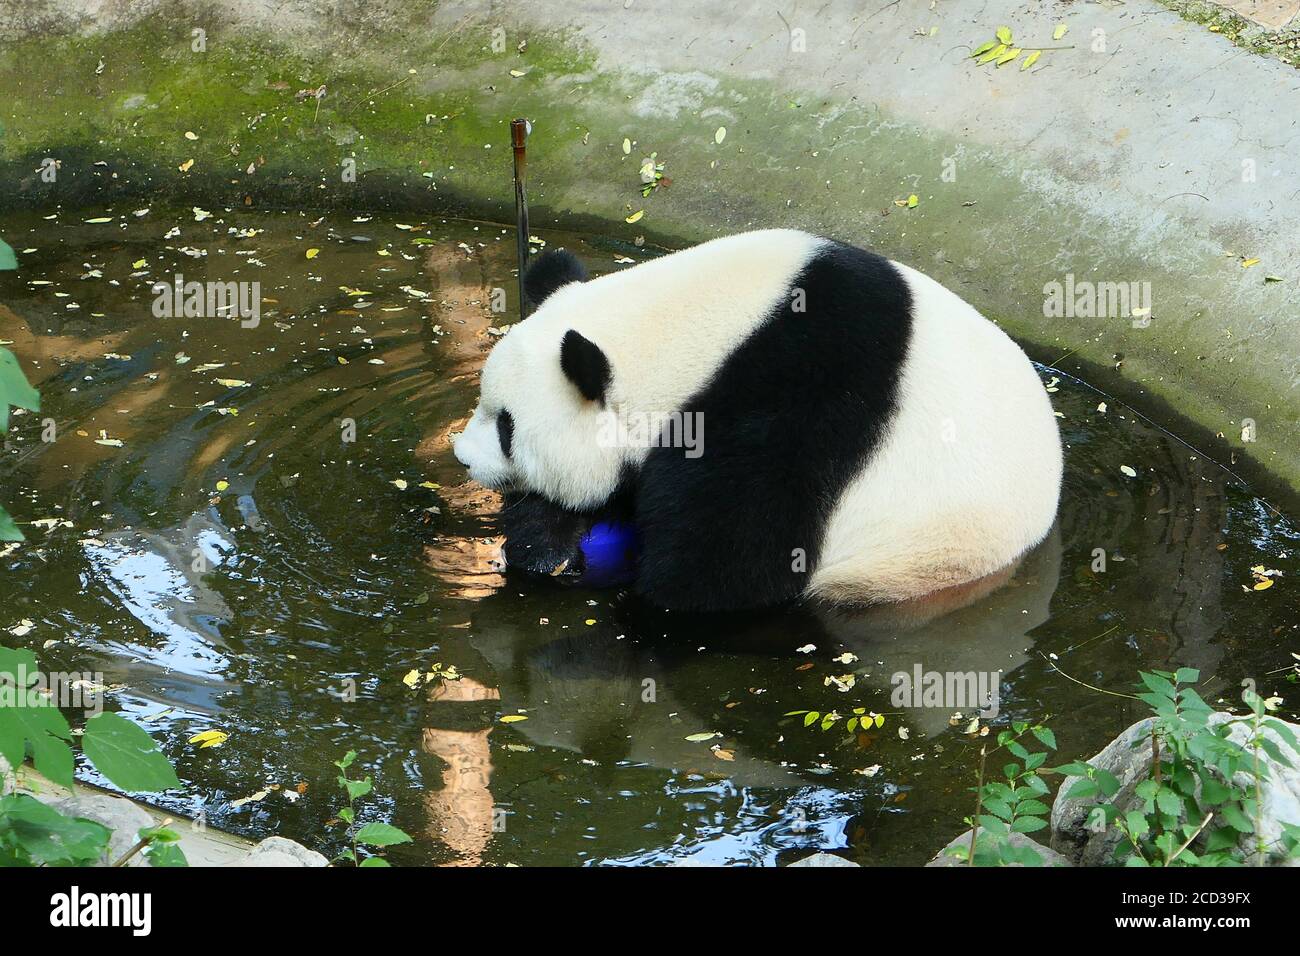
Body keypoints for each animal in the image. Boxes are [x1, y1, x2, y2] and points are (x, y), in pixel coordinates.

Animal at [452, 229, 1062, 612]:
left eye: (506, 426)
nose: (462, 457)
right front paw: (541, 538)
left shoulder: (795, 396)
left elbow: (734, 563)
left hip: (911, 559)